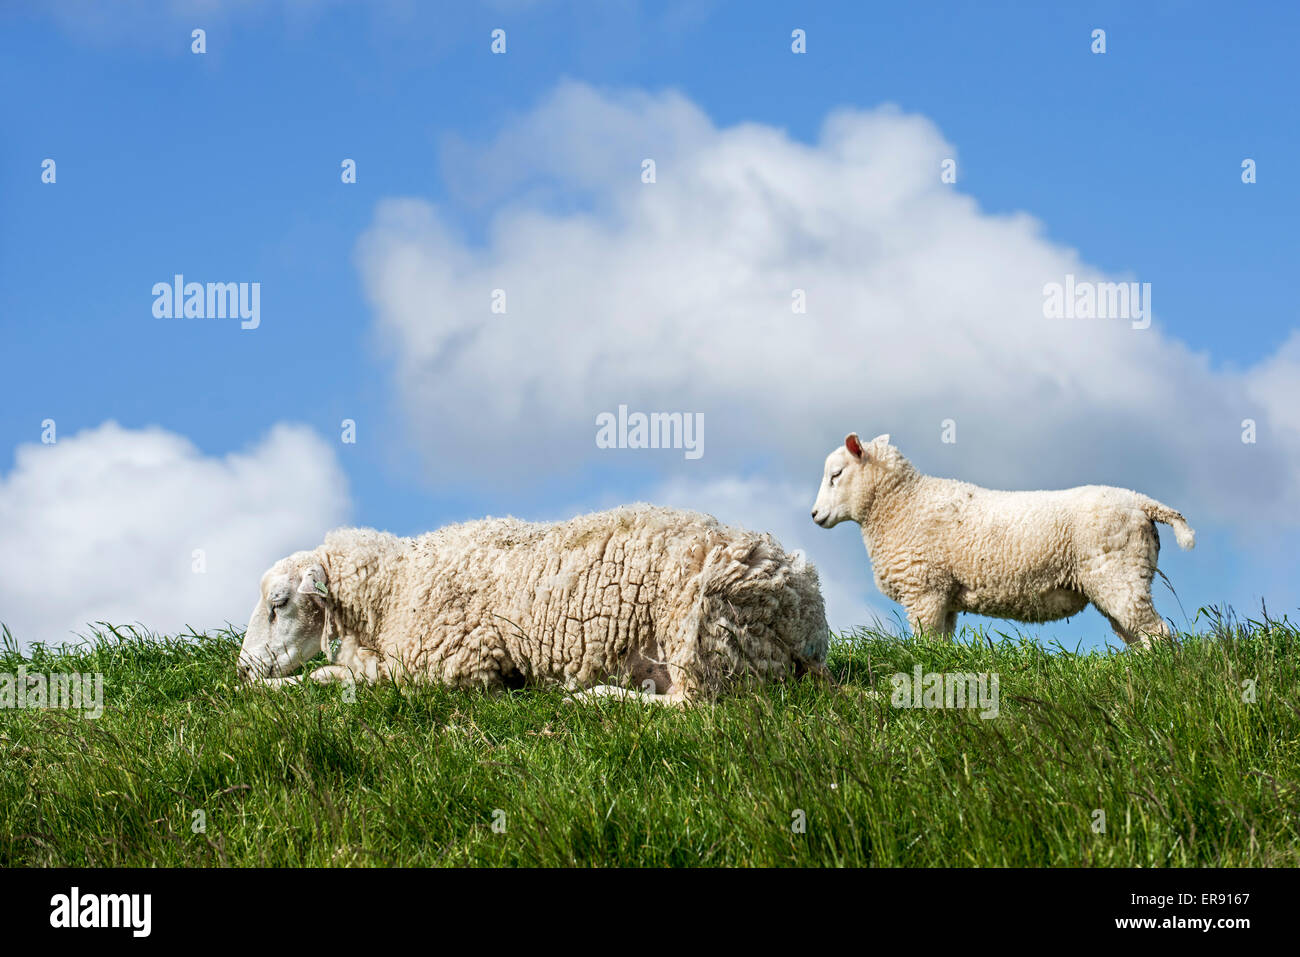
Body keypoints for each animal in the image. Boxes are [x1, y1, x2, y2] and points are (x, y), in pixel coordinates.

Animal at [237, 504, 829, 703]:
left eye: (279, 603)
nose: (241, 668)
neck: (396, 583)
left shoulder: (452, 668)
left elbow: (327, 679)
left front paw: (268, 688)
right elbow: (332, 675)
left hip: (700, 627)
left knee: (695, 706)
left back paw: (594, 698)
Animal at [810, 433, 1195, 648]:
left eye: (836, 475)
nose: (815, 515)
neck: (901, 504)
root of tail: (1141, 502)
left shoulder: (925, 591)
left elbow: (925, 644)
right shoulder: (945, 596)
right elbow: (943, 646)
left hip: (1119, 573)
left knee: (1158, 633)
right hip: (1120, 579)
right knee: (1135, 633)